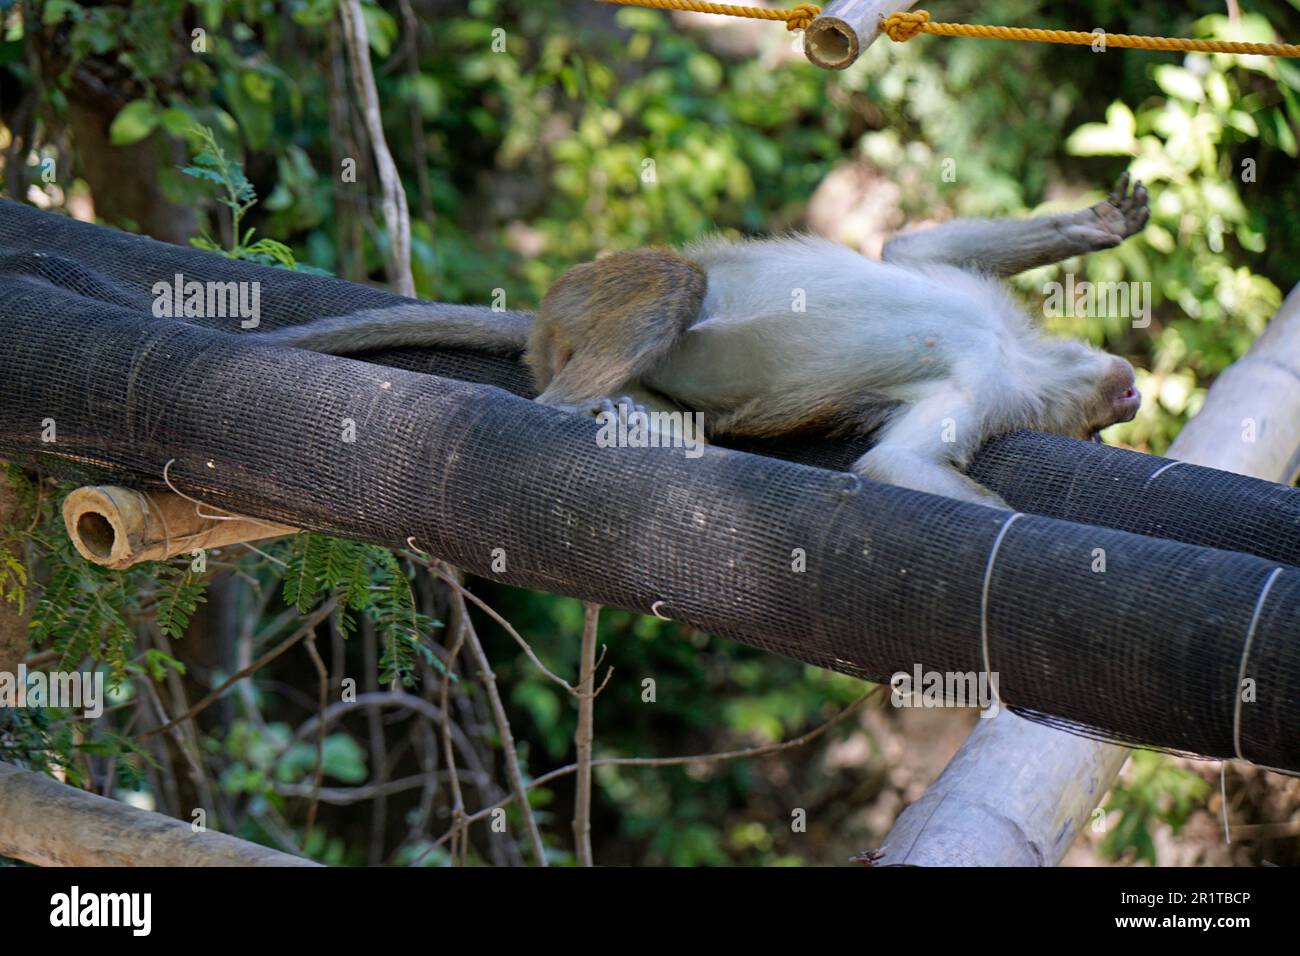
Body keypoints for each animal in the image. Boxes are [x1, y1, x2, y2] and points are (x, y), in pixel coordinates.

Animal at [262, 175, 1149, 509]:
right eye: (1105, 421)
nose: (1133, 398)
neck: (1019, 354)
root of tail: (546, 327)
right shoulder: (988, 371)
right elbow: (906, 252)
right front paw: (1097, 225)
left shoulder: (985, 389)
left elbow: (892, 461)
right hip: (588, 290)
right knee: (678, 283)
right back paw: (569, 407)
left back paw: (622, 417)